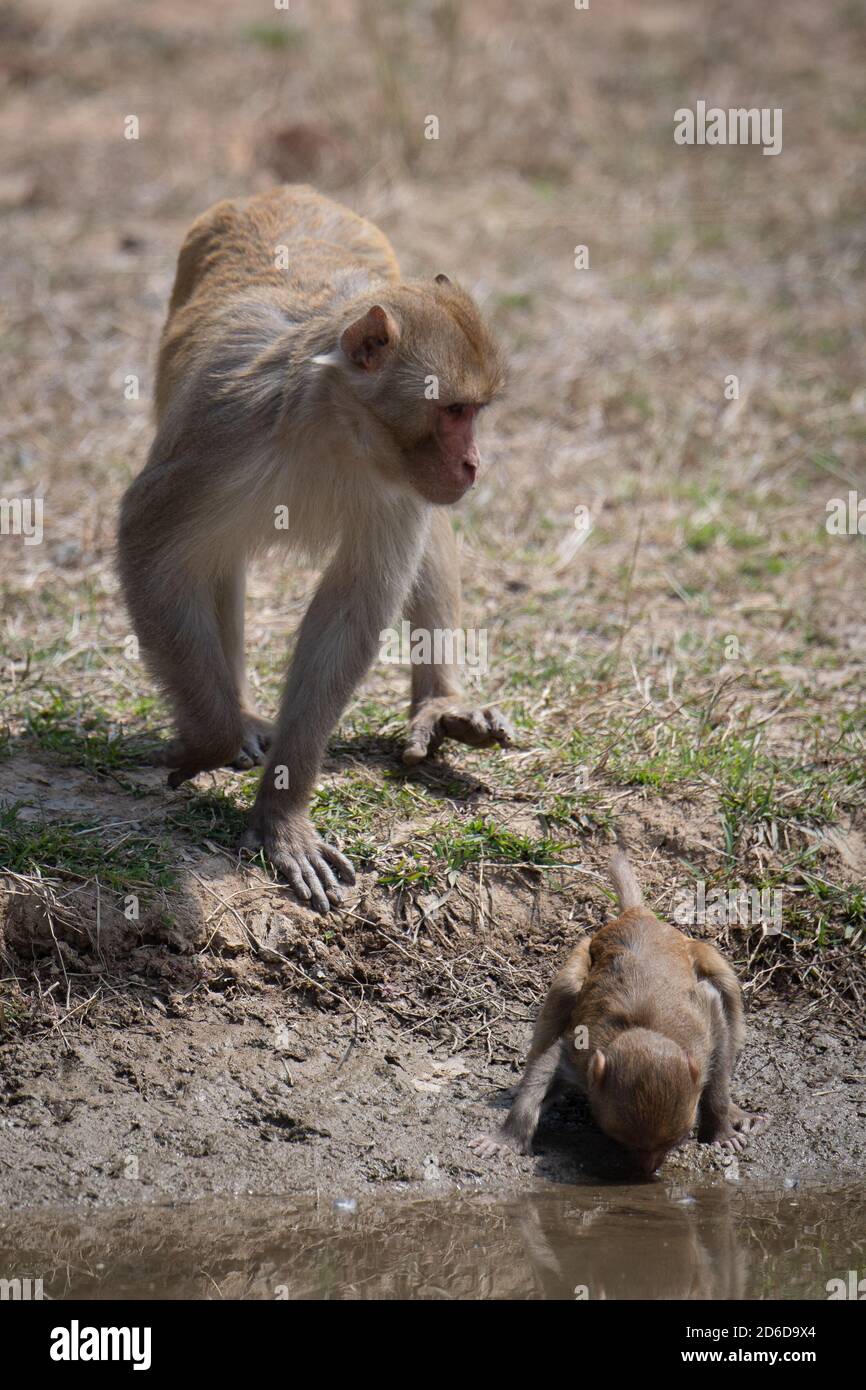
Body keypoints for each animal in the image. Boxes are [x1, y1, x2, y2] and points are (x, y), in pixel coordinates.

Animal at [118, 186, 513, 913]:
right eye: (452, 411)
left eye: (475, 412)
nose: (474, 465)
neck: (337, 429)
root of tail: (284, 191)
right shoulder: (227, 427)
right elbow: (150, 548)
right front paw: (213, 740)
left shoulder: (399, 485)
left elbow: (351, 610)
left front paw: (282, 814)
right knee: (212, 559)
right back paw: (239, 716)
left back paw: (440, 702)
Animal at [471, 839, 767, 1177]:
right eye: (623, 1140)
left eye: (675, 1140)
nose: (646, 1171)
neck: (644, 1027)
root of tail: (638, 915)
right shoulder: (582, 1055)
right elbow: (546, 1065)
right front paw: (508, 1138)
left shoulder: (703, 1034)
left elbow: (717, 1024)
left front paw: (720, 1127)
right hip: (583, 954)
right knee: (566, 988)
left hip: (698, 951)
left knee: (724, 984)